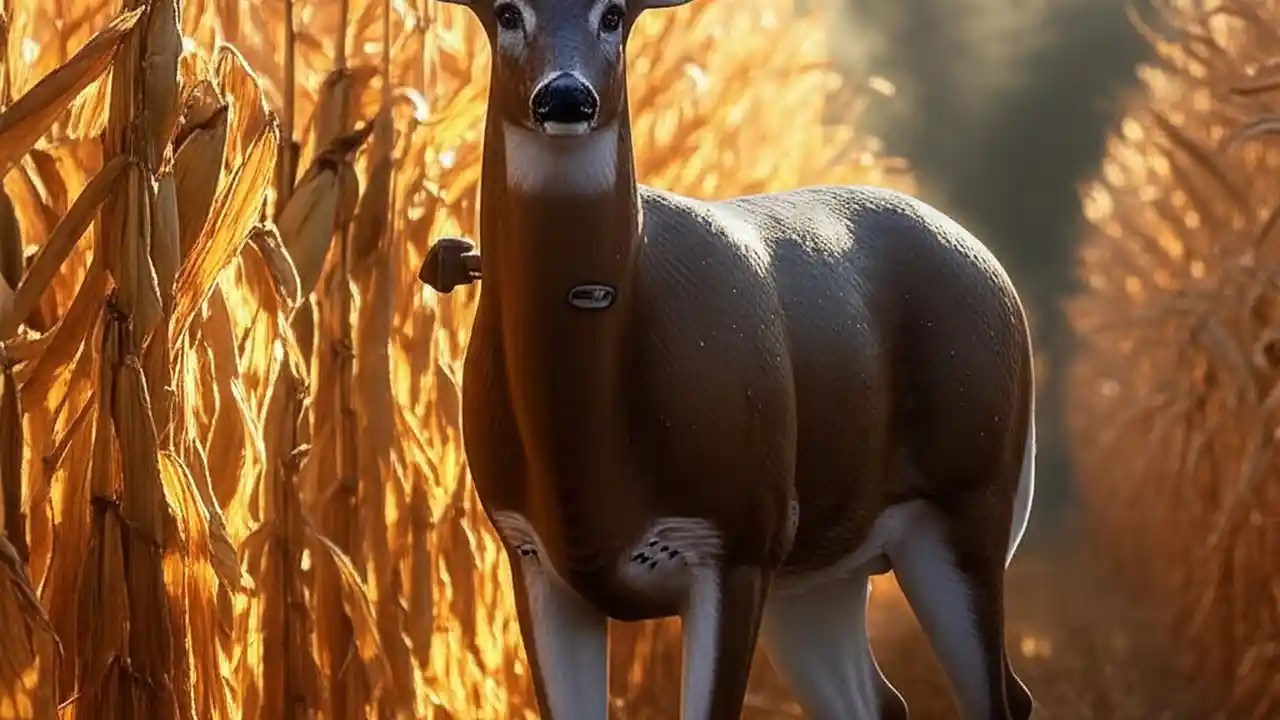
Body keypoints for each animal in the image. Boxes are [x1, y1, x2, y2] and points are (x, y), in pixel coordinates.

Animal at [421, 0, 1037, 717]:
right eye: (506, 13)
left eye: (615, 15)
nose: (567, 96)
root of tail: (991, 266)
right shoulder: (530, 553)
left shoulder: (735, 539)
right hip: (817, 569)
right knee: (881, 701)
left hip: (967, 499)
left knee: (1001, 696)